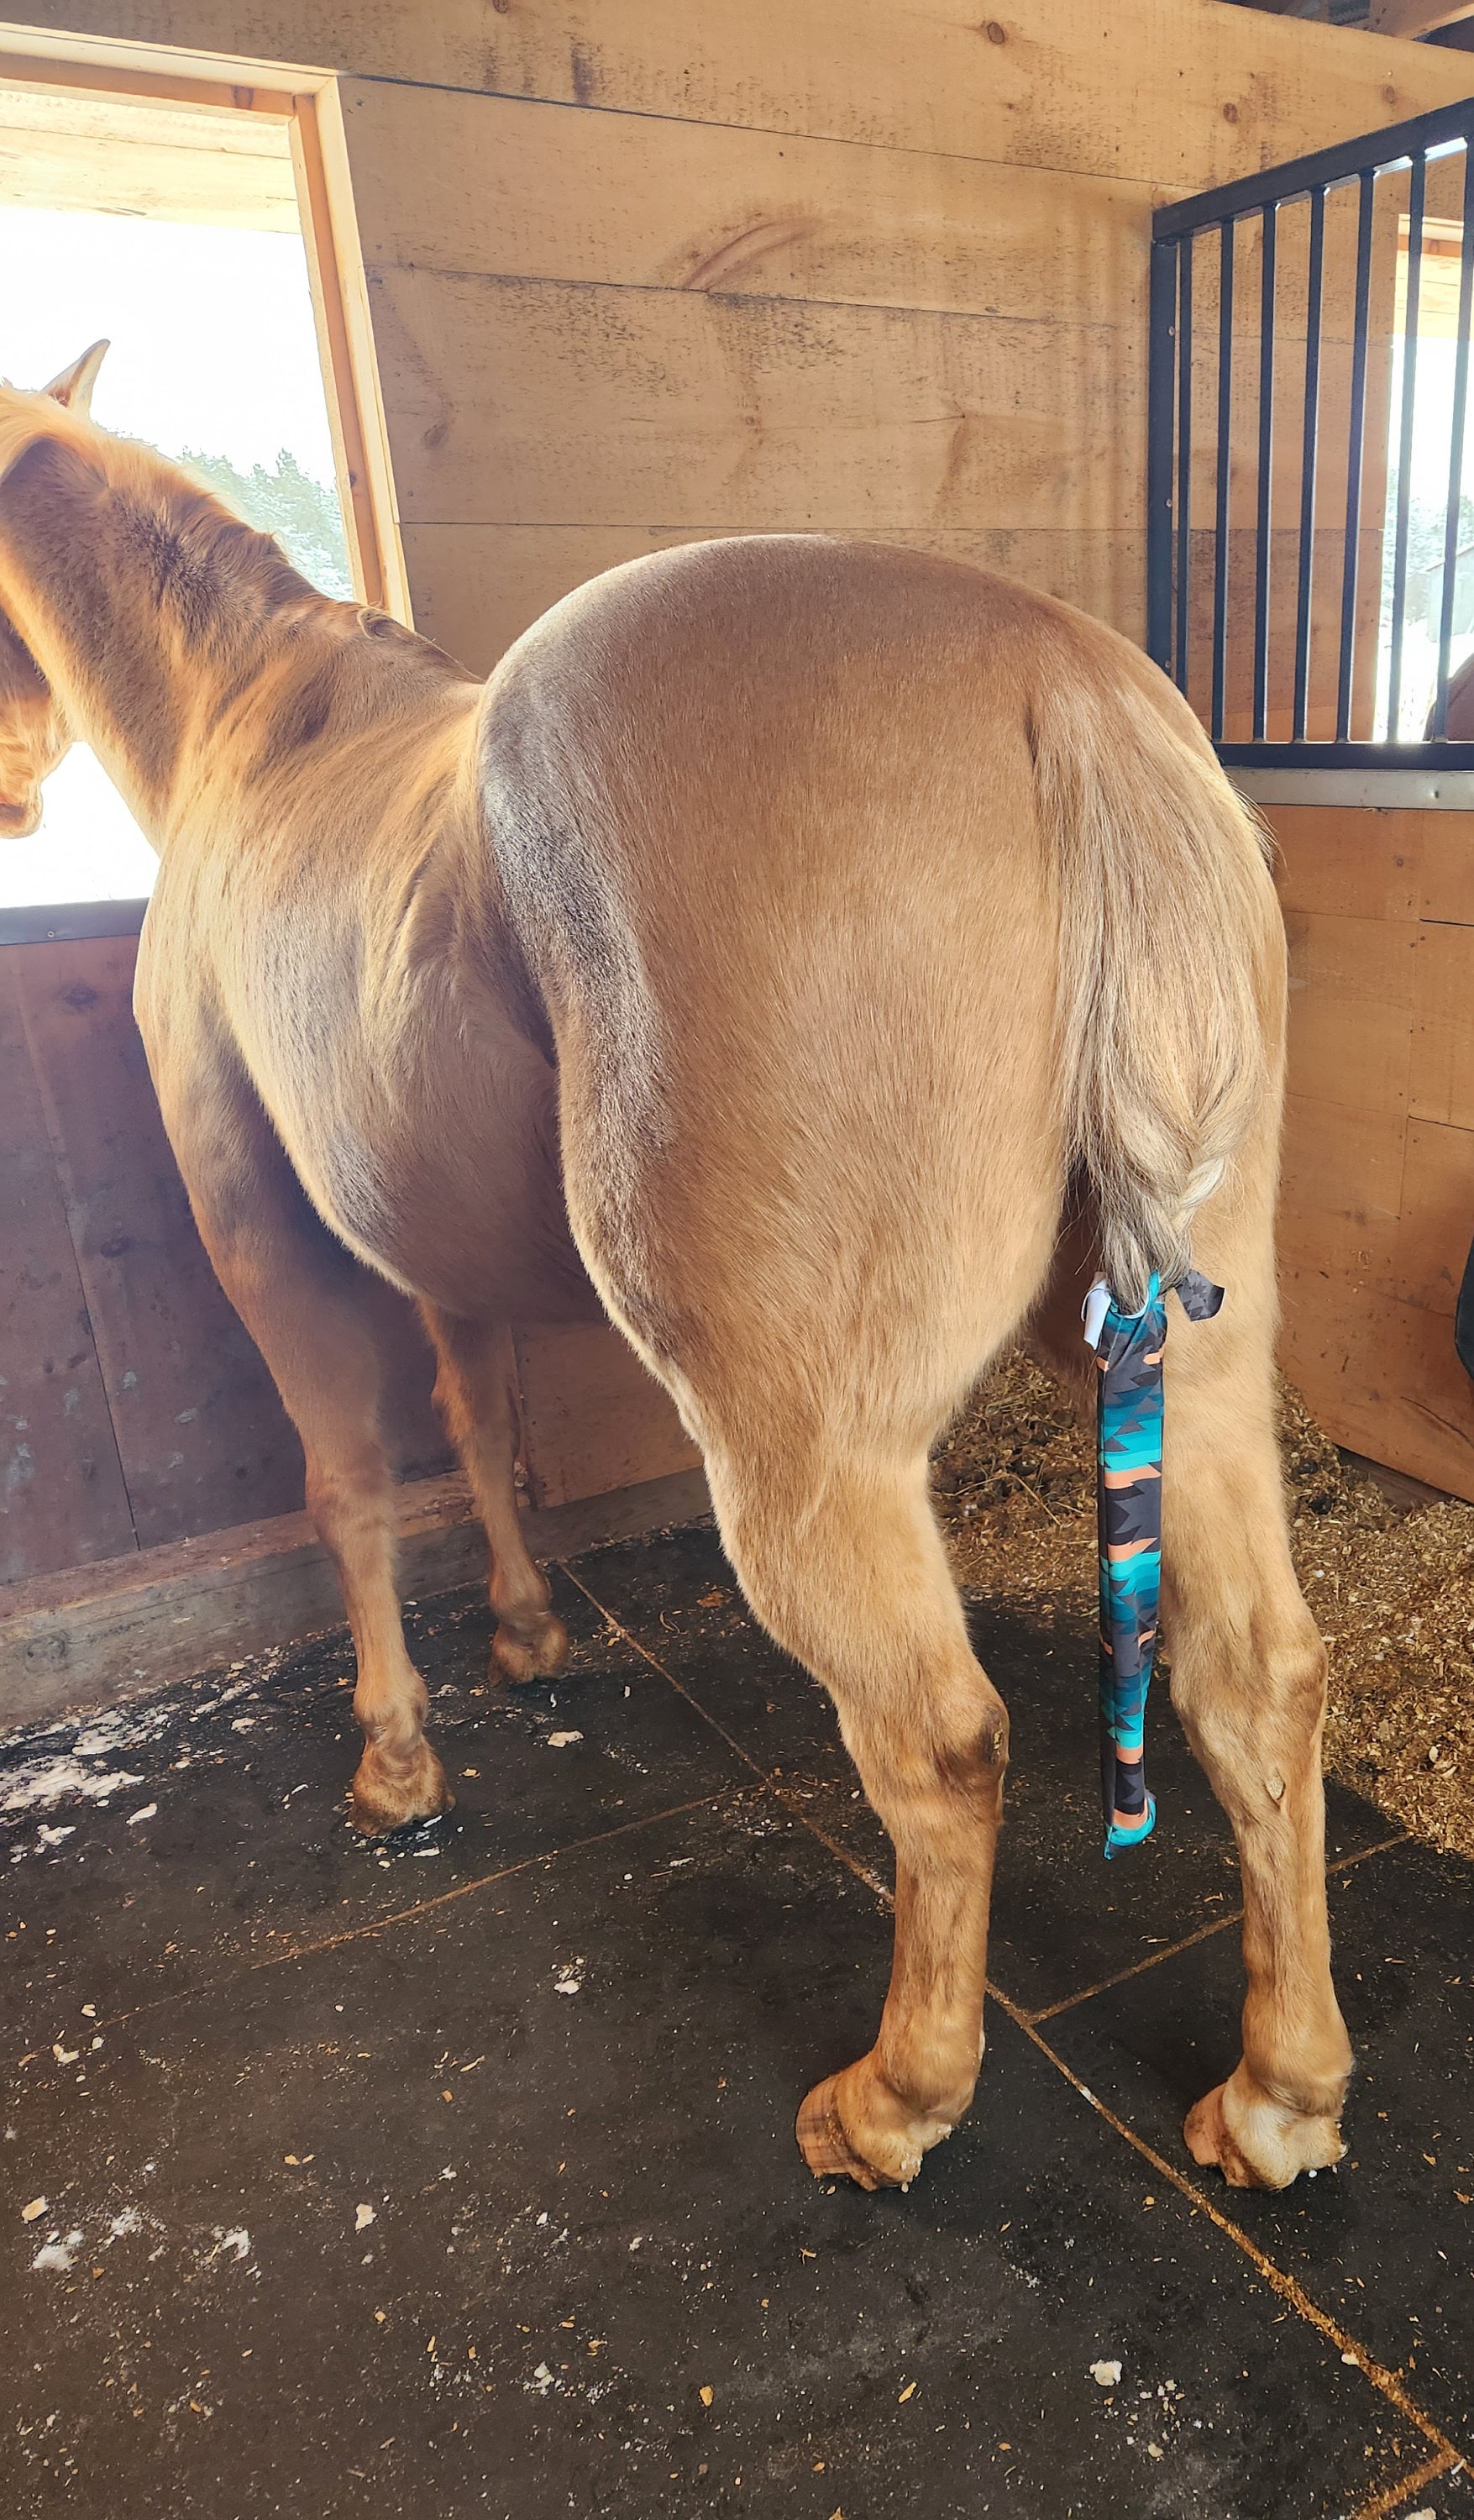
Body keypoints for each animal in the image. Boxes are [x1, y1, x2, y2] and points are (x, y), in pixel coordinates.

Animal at [0, 344, 1351, 2197]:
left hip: (809, 1452)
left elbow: (348, 1484)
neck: (252, 726)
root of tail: (1063, 684)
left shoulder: (265, 1236)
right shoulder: (436, 1249)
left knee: (936, 1743)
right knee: (1256, 1683)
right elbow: (478, 1423)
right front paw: (523, 1634)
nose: (13, 791)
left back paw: (894, 2100)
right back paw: (1280, 2096)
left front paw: (396, 1759)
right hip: (1198, 1374)